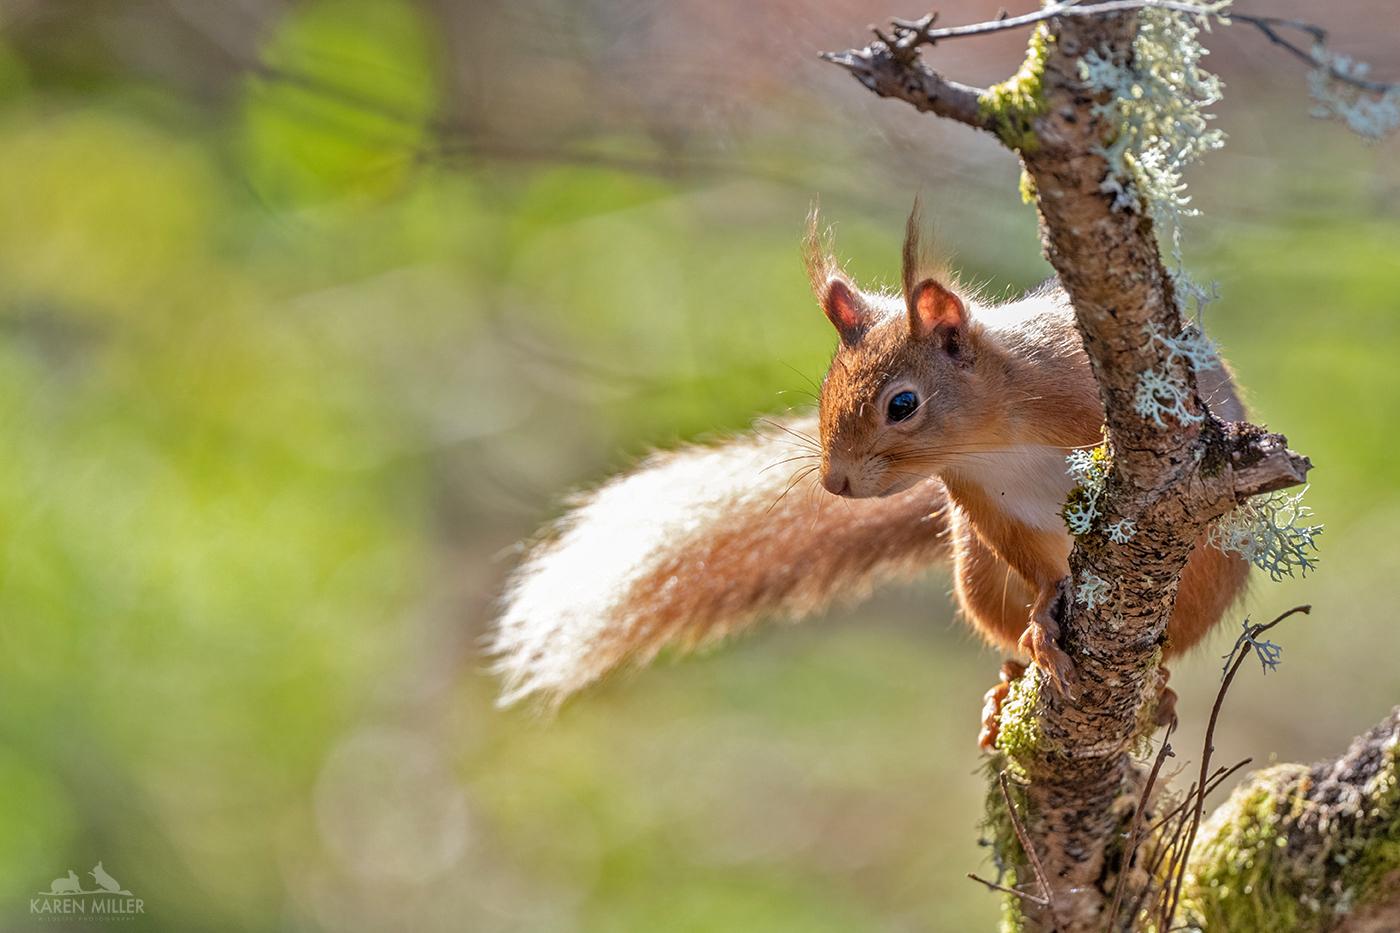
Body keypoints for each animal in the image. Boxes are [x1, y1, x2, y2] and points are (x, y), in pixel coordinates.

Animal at [491, 205, 1248, 743]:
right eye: (827, 393)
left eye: (903, 404)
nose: (836, 484)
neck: (992, 439)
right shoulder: (987, 506)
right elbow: (1036, 572)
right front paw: (1041, 625)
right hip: (977, 577)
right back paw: (1008, 683)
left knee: (1172, 641)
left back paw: (1159, 682)